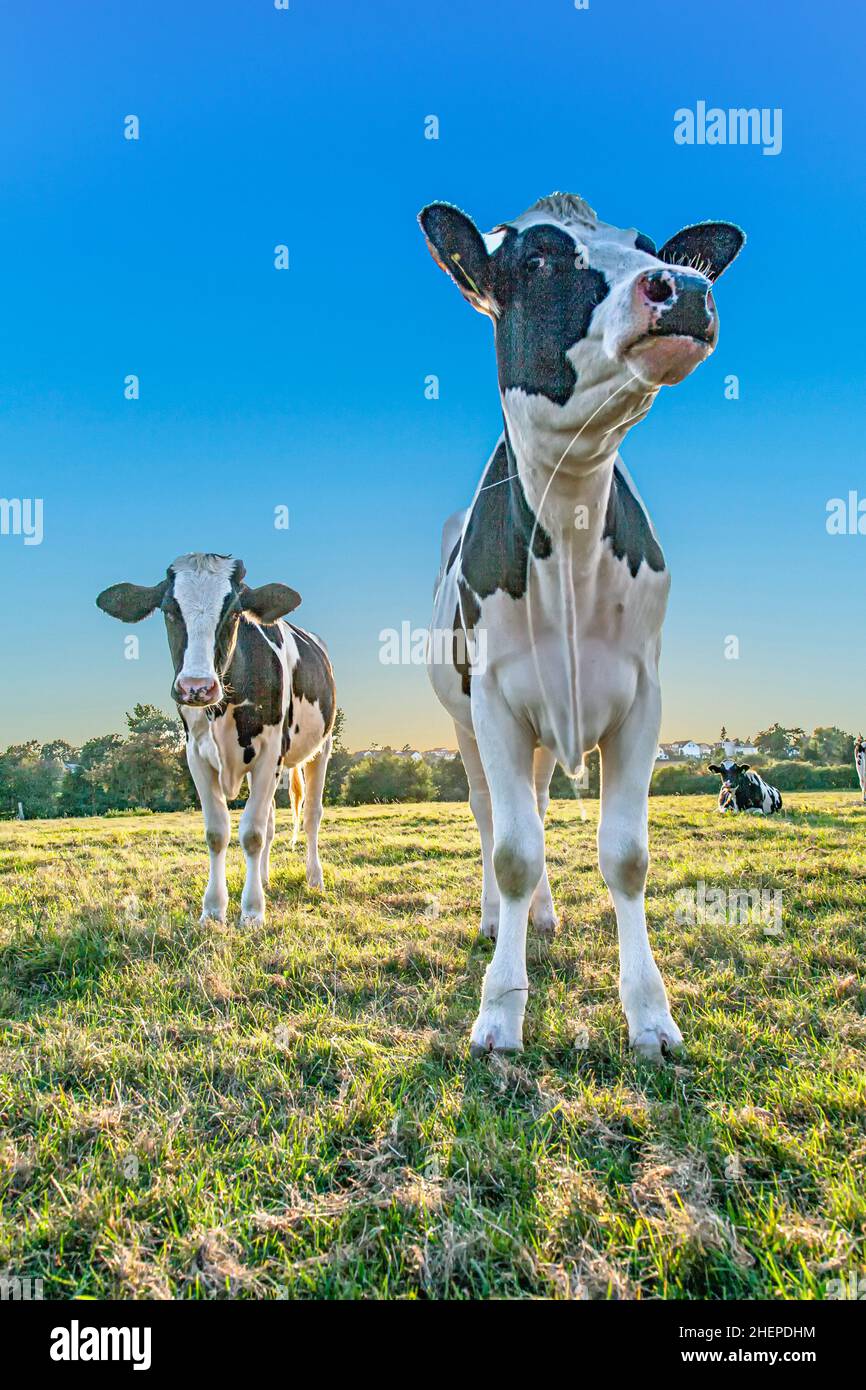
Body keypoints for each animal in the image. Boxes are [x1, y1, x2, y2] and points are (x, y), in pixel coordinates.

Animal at [96, 553, 335, 923]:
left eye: (234, 612)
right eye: (169, 610)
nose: (196, 687)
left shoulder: (270, 753)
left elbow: (251, 833)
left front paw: (252, 911)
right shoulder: (196, 754)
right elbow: (218, 832)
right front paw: (213, 909)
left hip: (321, 748)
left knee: (310, 815)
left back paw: (314, 878)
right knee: (269, 820)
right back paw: (264, 878)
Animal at [419, 191, 744, 1059]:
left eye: (660, 251)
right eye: (535, 259)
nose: (683, 289)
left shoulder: (642, 702)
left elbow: (626, 858)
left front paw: (651, 1015)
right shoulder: (496, 706)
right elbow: (511, 851)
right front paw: (501, 1011)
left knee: (530, 806)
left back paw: (543, 918)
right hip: (467, 728)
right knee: (491, 815)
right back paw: (500, 921)